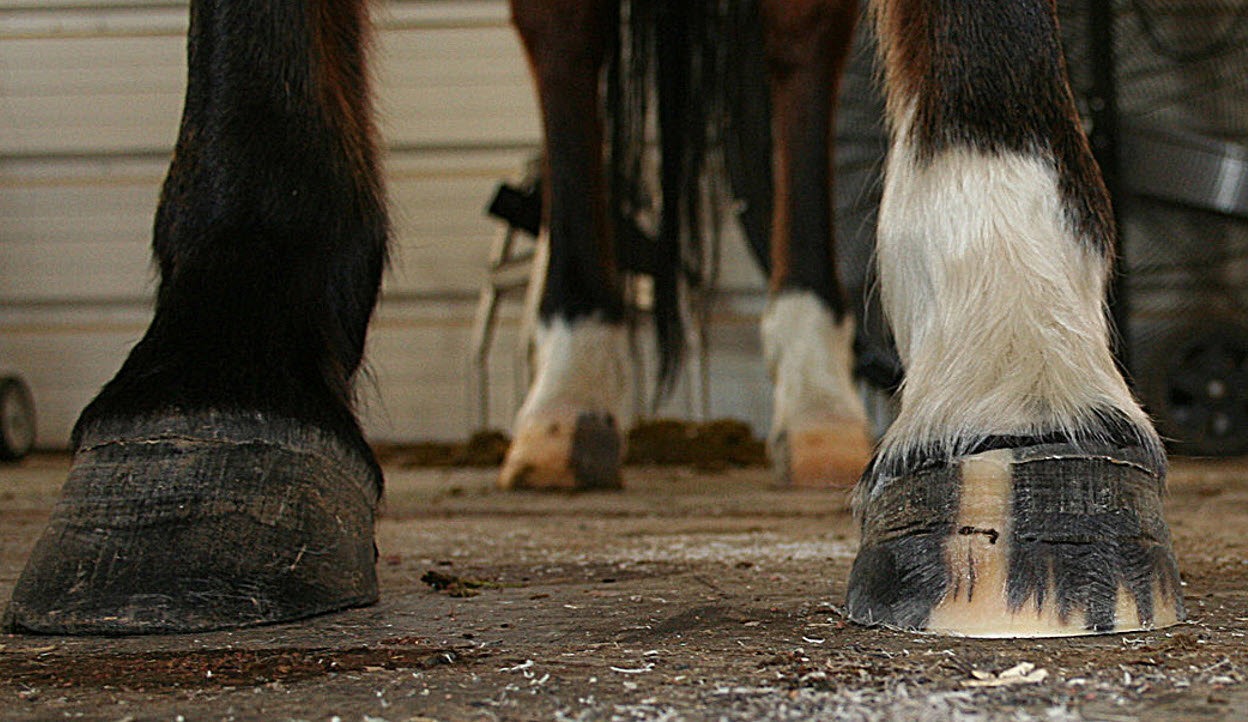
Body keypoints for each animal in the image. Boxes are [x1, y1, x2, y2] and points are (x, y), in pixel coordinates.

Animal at [4, 0, 1184, 638]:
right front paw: (222, 381)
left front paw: (1015, 367)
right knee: (565, 30)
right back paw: (566, 396)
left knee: (795, 37)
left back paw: (813, 401)